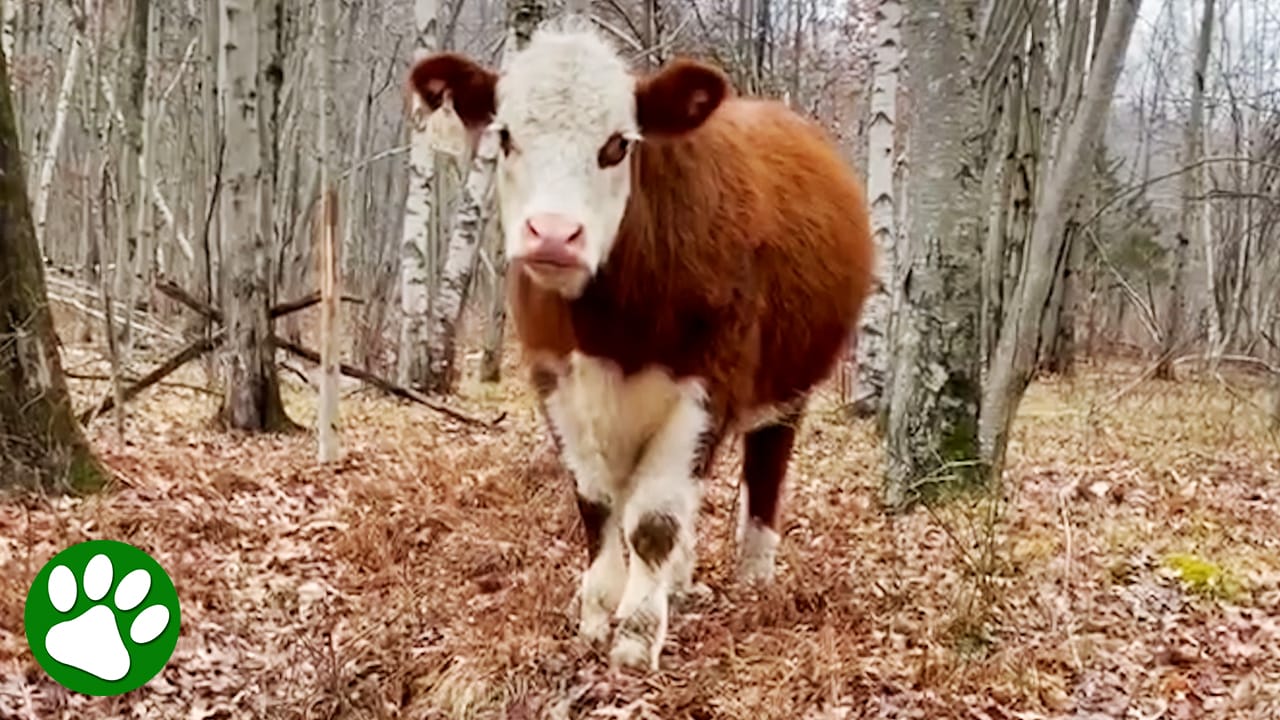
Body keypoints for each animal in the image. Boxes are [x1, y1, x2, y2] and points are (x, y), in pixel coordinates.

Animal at [408, 16, 874, 671]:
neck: (610, 327)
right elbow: (598, 504)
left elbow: (653, 519)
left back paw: (754, 576)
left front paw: (634, 635)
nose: (554, 234)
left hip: (790, 387)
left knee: (765, 470)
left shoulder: (707, 384)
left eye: (617, 145)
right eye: (505, 137)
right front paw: (597, 612)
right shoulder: (555, 380)